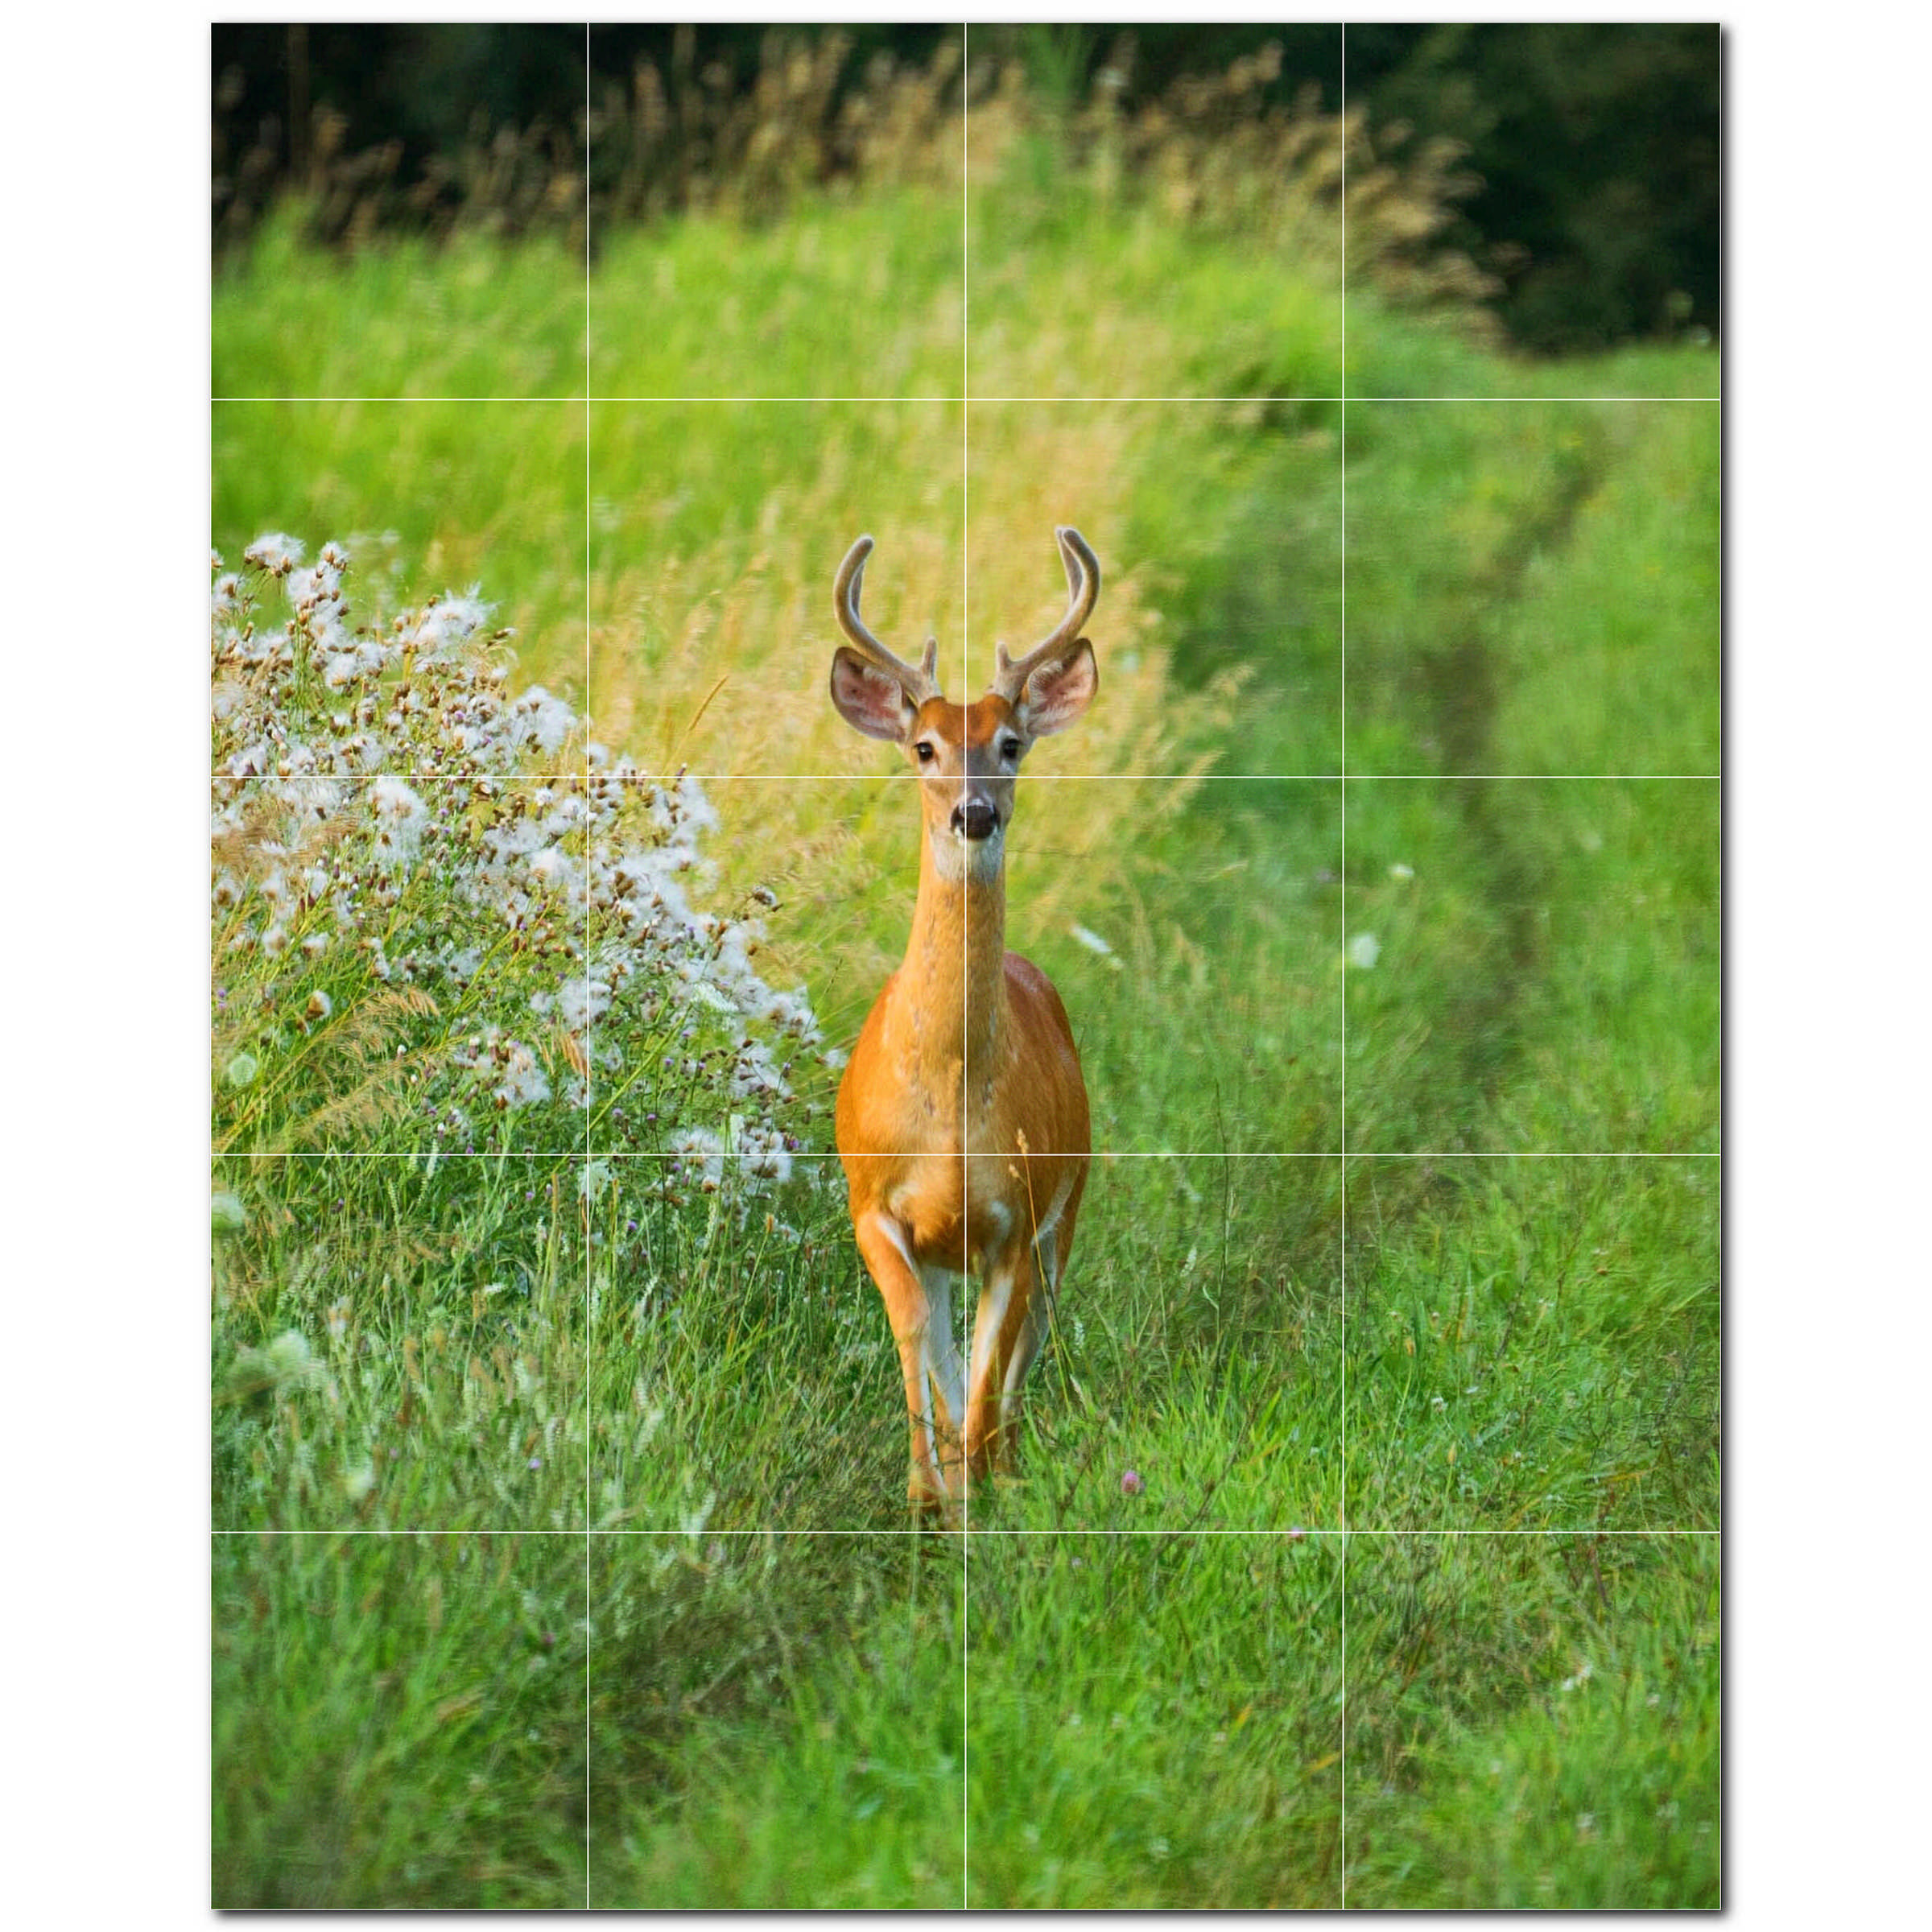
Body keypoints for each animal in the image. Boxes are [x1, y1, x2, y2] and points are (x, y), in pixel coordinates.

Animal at [828, 527, 1100, 1510]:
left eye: (1011, 743)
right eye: (923, 746)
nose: (973, 812)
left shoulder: (1016, 1217)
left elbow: (986, 1382)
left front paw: (980, 1493)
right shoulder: (875, 1206)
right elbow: (924, 1355)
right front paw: (926, 1497)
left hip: (1071, 1203)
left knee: (1025, 1352)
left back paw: (1007, 1470)